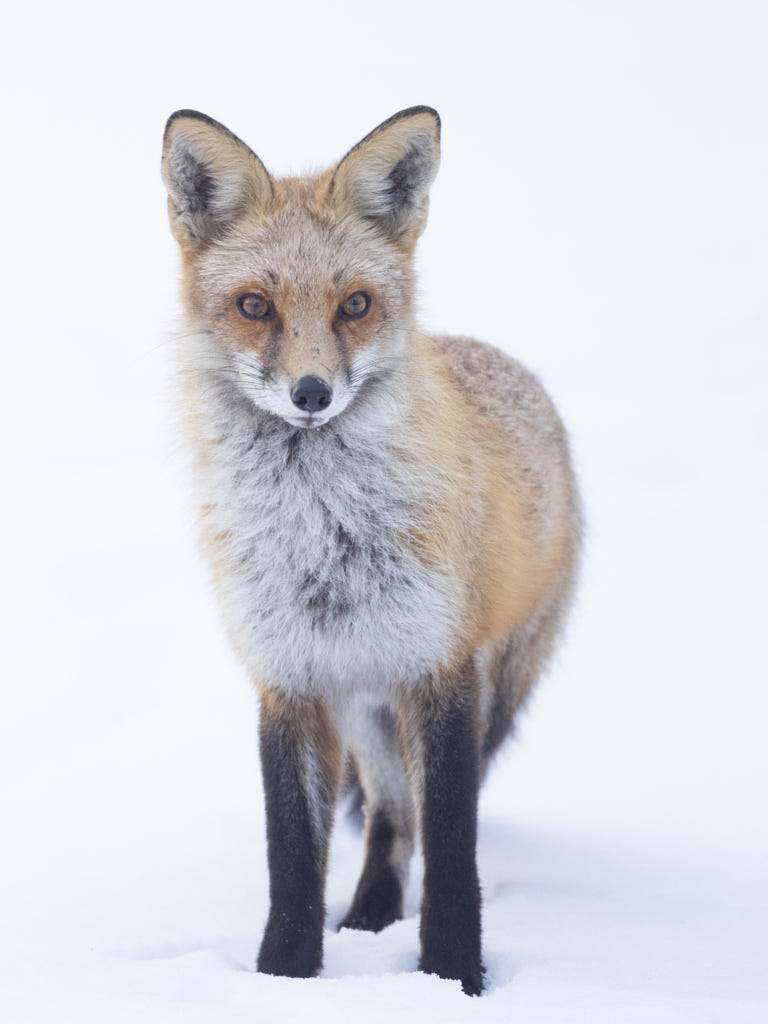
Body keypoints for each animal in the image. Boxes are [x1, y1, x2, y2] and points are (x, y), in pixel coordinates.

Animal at [161, 105, 581, 996]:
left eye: (354, 303)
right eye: (255, 305)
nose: (312, 394)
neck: (327, 541)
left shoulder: (441, 671)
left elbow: (453, 850)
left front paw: (454, 977)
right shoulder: (288, 679)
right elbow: (293, 858)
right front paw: (284, 977)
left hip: (486, 691)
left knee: (421, 814)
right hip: (361, 703)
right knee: (389, 814)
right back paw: (369, 916)